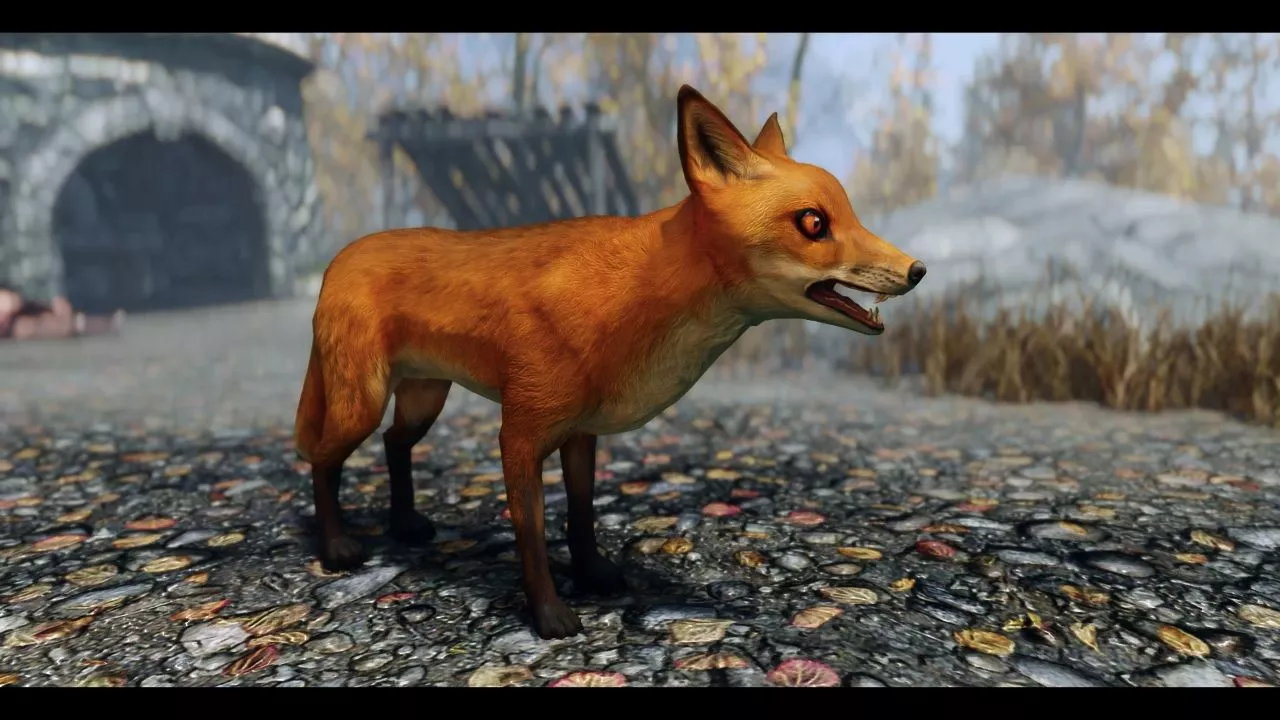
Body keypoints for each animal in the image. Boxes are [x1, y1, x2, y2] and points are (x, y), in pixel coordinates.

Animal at [295, 85, 927, 639]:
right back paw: (337, 548)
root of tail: (339, 258)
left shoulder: (579, 432)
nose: (918, 269)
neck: (636, 296)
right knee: (322, 460)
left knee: (393, 445)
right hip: (362, 402)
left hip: (423, 398)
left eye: (851, 214)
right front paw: (550, 616)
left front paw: (593, 575)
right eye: (814, 223)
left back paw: (404, 525)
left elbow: (580, 514)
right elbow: (532, 535)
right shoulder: (520, 436)